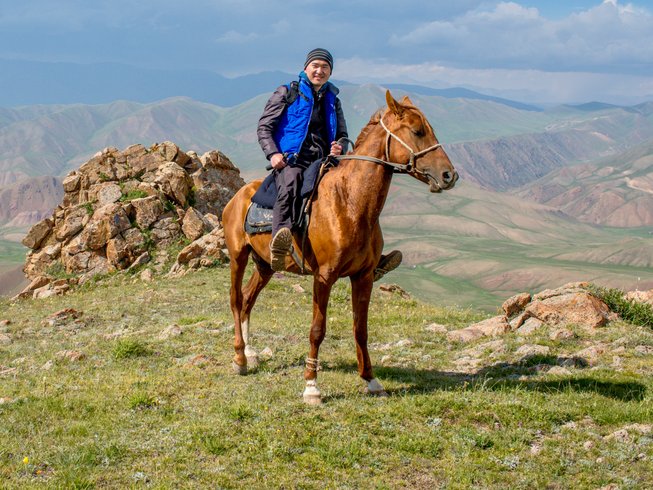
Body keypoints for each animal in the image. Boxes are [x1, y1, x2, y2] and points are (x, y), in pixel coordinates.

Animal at [222, 90, 458, 404]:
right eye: (418, 131)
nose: (449, 176)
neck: (350, 202)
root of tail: (238, 196)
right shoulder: (324, 277)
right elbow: (317, 330)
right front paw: (311, 386)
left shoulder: (364, 276)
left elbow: (361, 329)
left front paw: (371, 380)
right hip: (238, 256)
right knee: (236, 300)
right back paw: (239, 359)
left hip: (266, 266)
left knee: (248, 299)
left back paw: (250, 352)